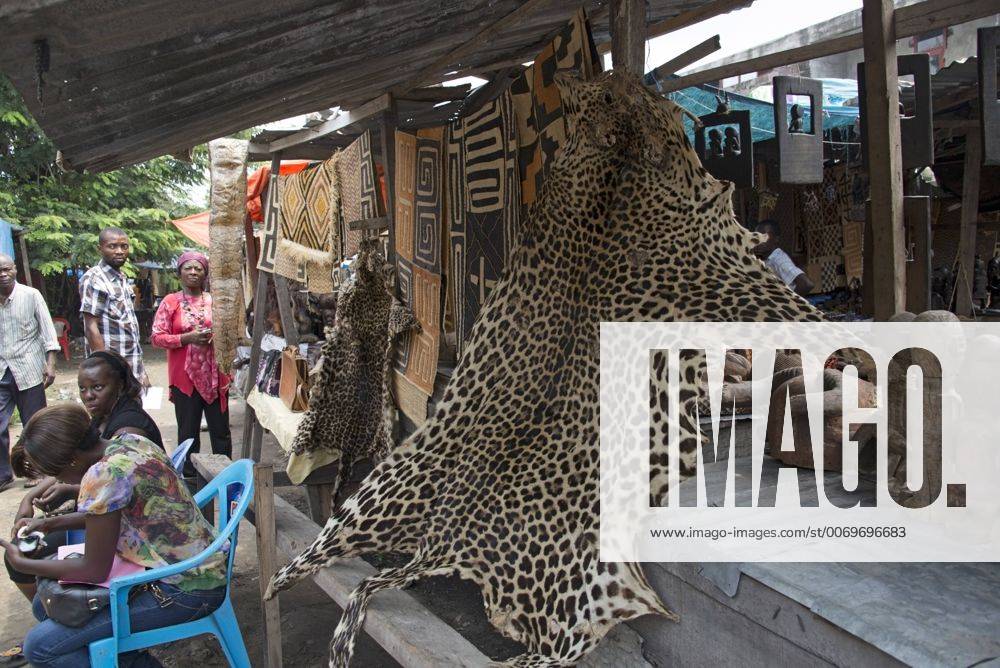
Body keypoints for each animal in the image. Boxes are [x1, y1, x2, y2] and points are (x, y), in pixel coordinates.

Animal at [266, 70, 824, 667]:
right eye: (614, 94)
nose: (623, 78)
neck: (612, 169)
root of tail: (441, 542)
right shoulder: (734, 272)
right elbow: (809, 317)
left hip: (376, 506)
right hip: (566, 601)